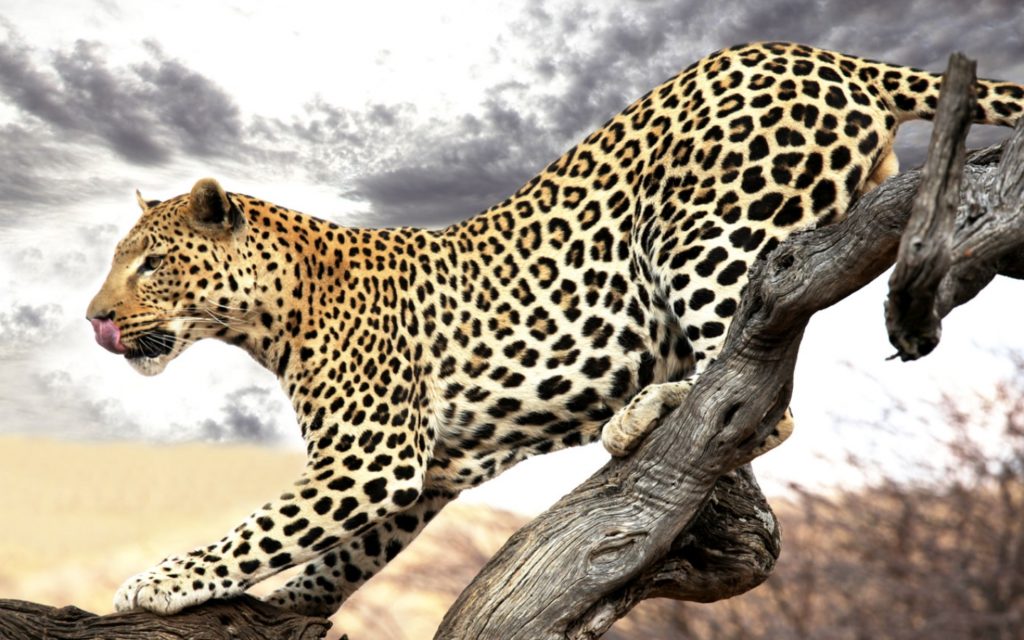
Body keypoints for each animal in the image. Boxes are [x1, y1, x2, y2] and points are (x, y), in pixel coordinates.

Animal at [86, 42, 1023, 616]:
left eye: (150, 263)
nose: (94, 319)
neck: (271, 313)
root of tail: (822, 54)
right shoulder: (425, 472)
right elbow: (331, 557)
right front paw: (283, 604)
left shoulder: (371, 458)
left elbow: (259, 529)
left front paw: (156, 584)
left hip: (703, 232)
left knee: (760, 387)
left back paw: (648, 411)